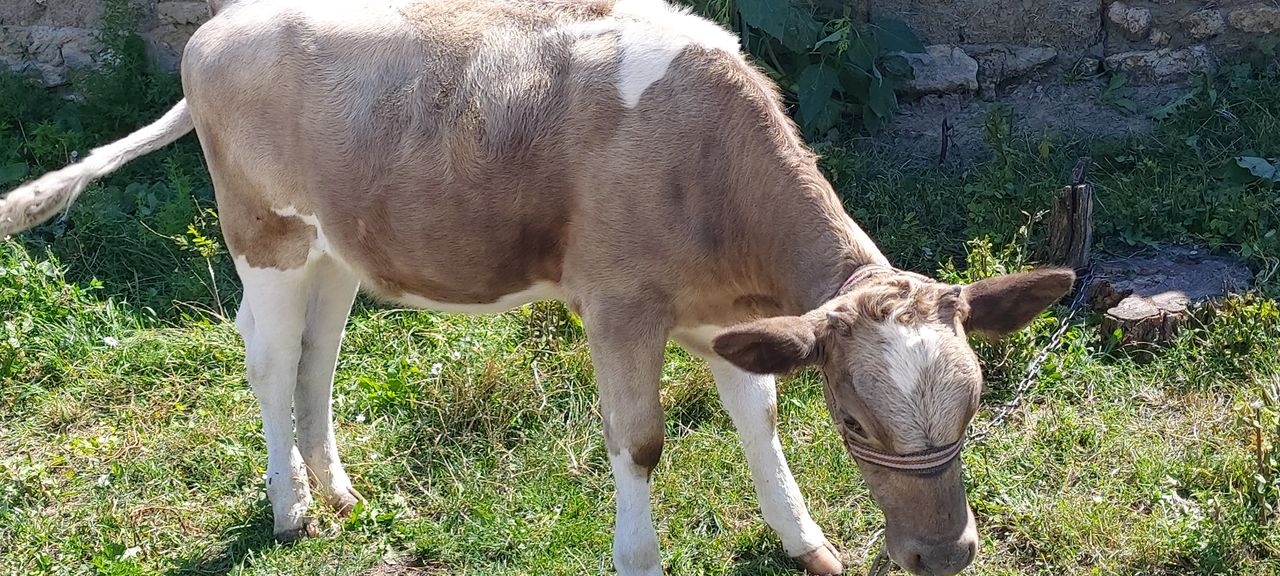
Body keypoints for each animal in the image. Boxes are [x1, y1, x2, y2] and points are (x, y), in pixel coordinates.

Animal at [0, 0, 1074, 574]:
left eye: (973, 407)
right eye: (853, 422)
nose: (945, 556)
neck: (712, 168)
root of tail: (220, 25)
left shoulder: (732, 316)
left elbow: (759, 418)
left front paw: (804, 541)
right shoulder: (620, 306)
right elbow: (640, 444)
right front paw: (639, 558)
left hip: (339, 247)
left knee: (319, 353)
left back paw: (338, 489)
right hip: (264, 231)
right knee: (266, 357)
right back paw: (292, 507)